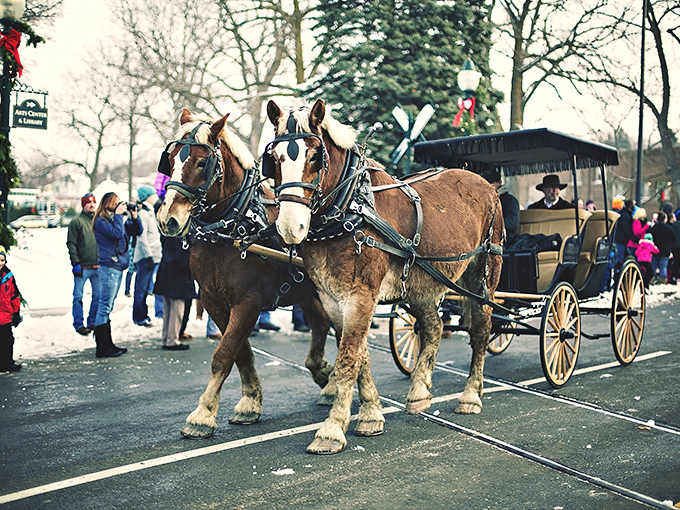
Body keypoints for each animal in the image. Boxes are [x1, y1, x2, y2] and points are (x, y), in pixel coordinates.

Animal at [156, 108, 334, 439]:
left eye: (202, 162)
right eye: (170, 158)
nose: (168, 219)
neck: (232, 228)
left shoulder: (248, 302)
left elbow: (223, 354)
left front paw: (202, 415)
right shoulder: (213, 301)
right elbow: (241, 352)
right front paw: (250, 402)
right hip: (307, 291)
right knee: (320, 322)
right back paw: (324, 376)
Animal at [264, 99, 504, 454]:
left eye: (315, 156)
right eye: (275, 159)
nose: (289, 227)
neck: (351, 208)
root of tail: (488, 185)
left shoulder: (361, 294)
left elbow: (348, 356)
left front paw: (332, 430)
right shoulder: (333, 298)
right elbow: (359, 354)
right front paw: (370, 414)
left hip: (483, 276)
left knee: (481, 330)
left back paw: (471, 395)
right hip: (422, 284)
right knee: (434, 327)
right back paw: (419, 393)